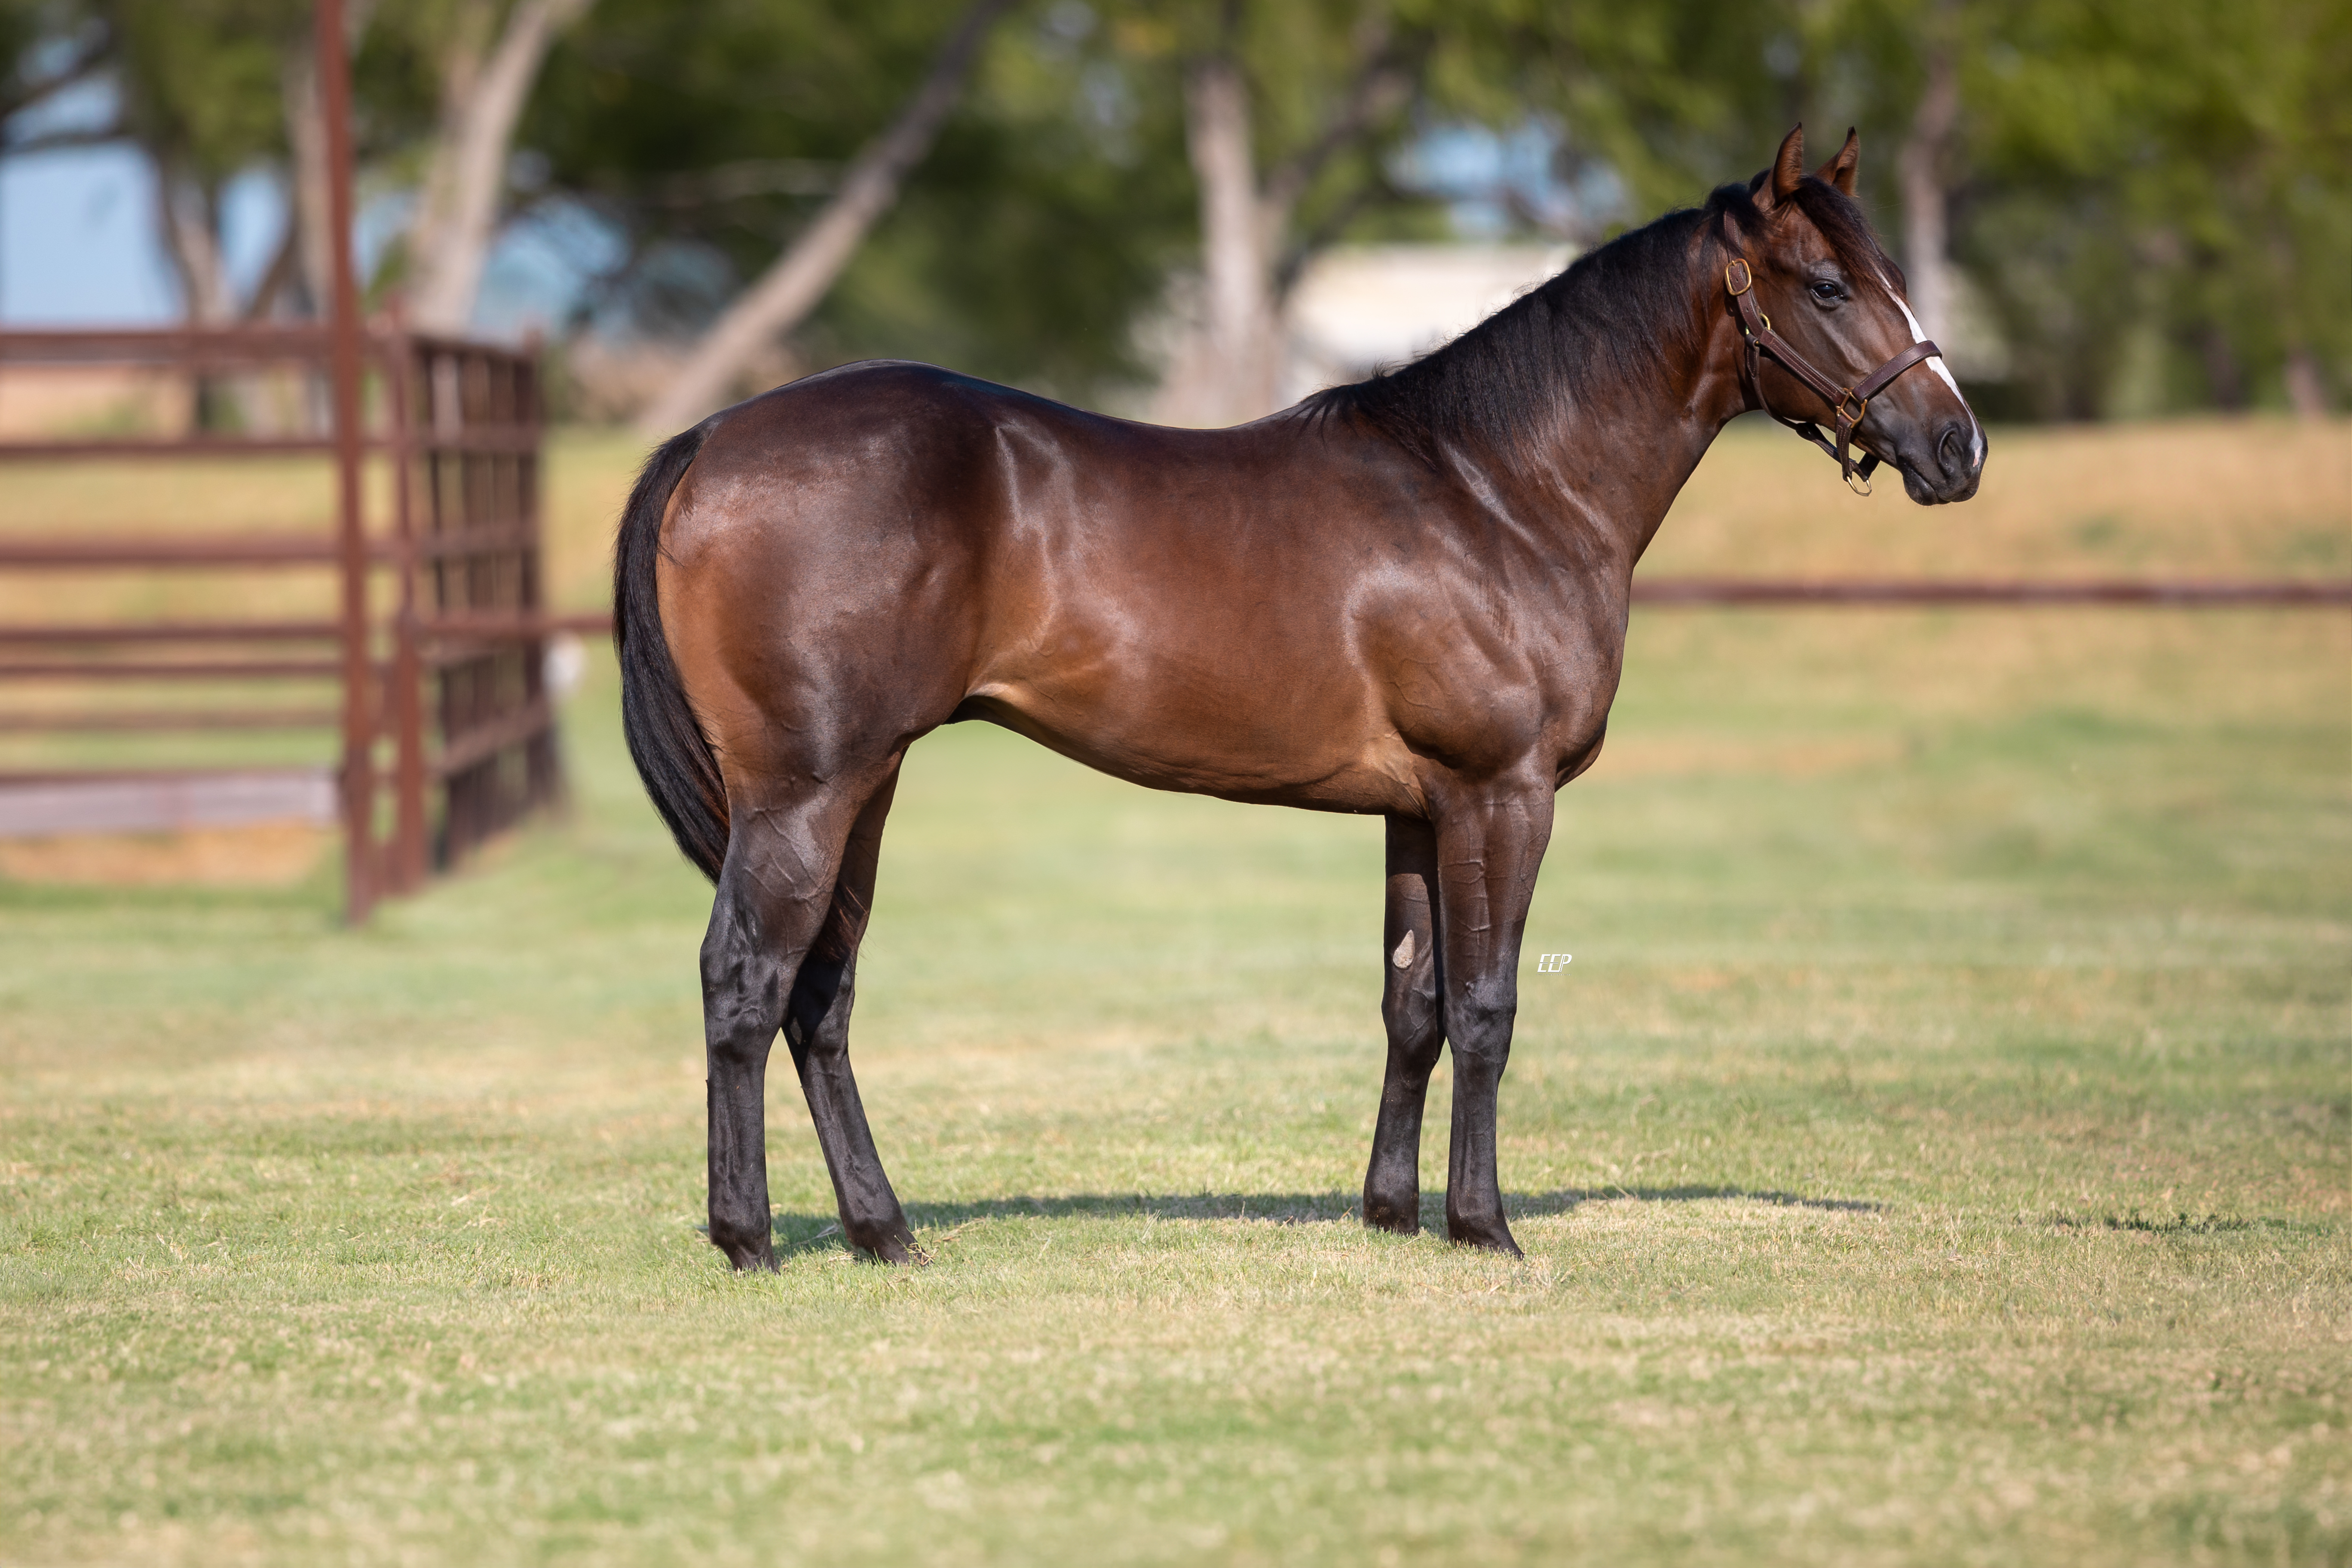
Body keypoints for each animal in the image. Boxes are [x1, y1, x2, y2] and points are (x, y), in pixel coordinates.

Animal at [614, 125, 1985, 1270]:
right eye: (1826, 284)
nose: (1959, 447)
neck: (1496, 489)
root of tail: (713, 439)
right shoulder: (1502, 793)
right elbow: (1486, 1007)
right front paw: (1482, 1226)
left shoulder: (1419, 809)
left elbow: (1412, 1005)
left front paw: (1391, 1213)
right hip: (808, 791)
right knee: (746, 981)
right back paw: (748, 1238)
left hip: (867, 786)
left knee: (820, 997)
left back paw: (883, 1231)